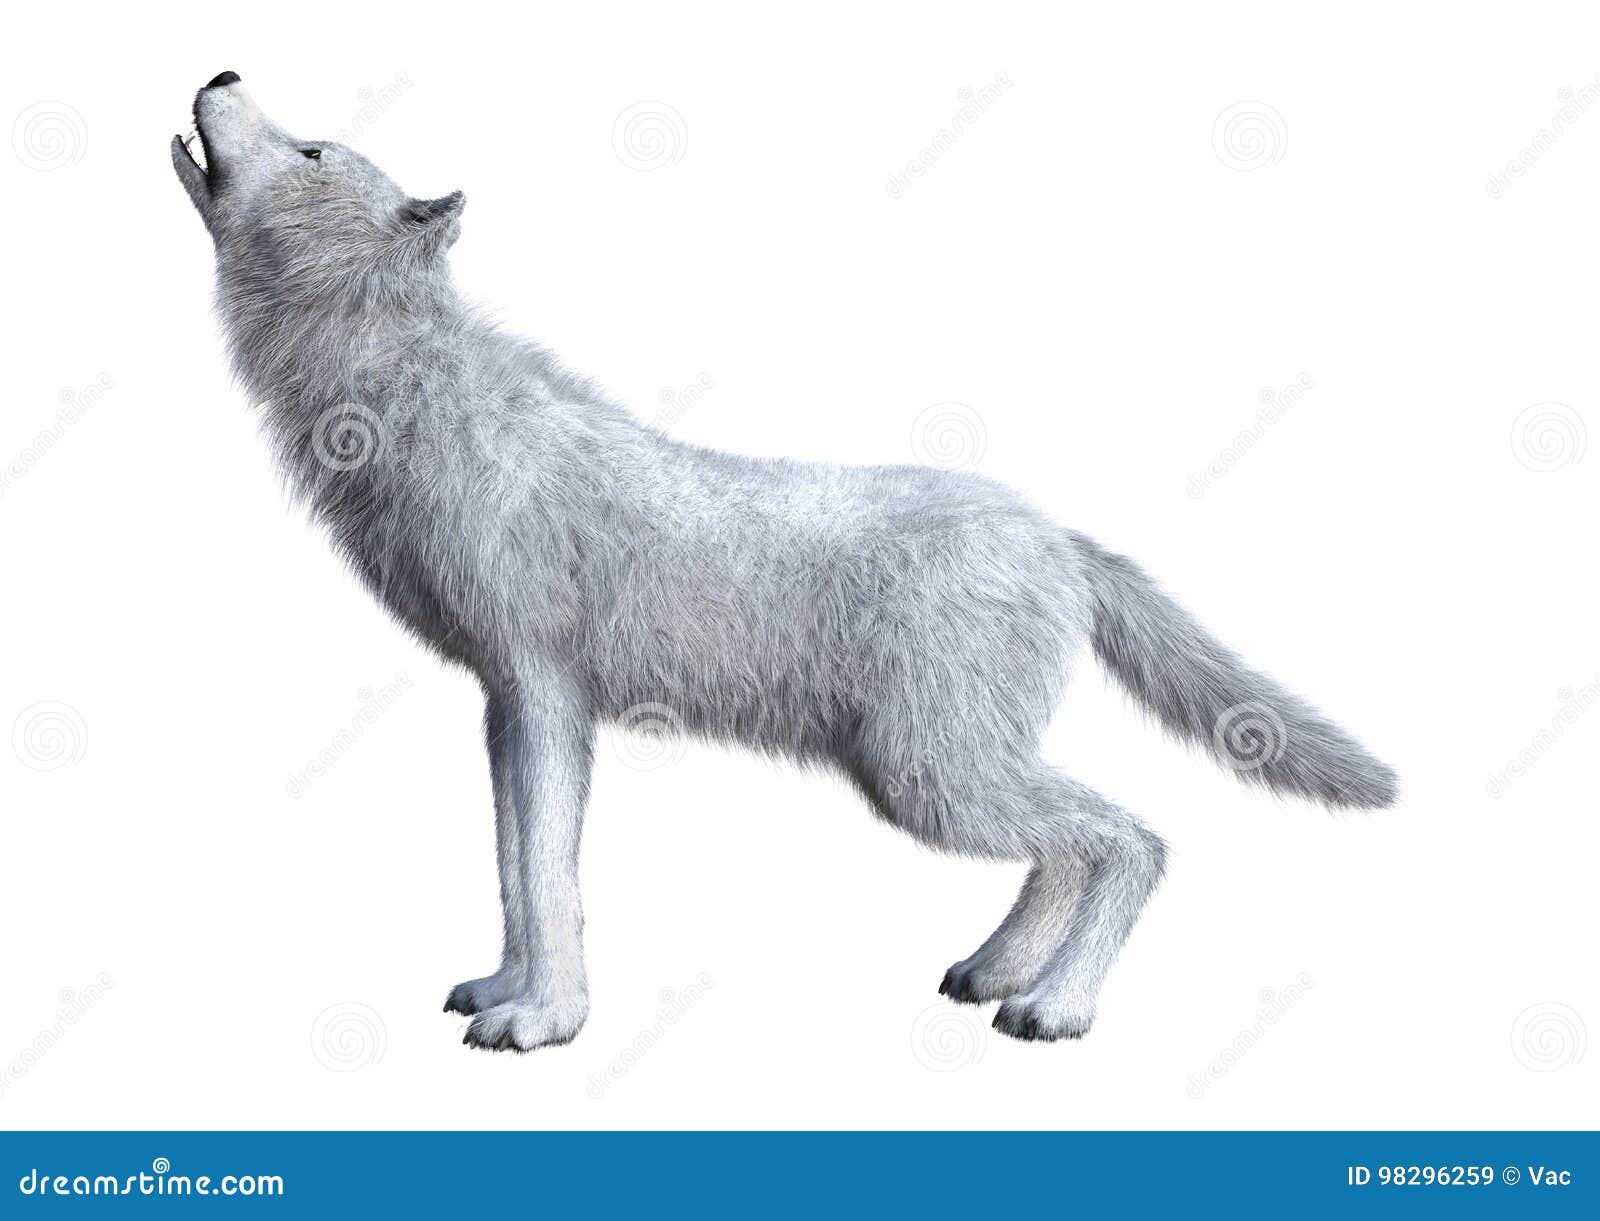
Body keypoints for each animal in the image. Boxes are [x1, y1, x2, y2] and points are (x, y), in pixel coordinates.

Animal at [172, 72, 1397, 1052]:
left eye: (312, 149)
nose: (222, 70)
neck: (410, 398)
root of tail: (1057, 536)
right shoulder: (505, 705)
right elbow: (518, 872)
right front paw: (508, 989)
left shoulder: (547, 696)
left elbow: (552, 878)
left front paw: (546, 1022)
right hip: (941, 775)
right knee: (1072, 849)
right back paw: (994, 973)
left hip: (926, 779)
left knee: (1129, 838)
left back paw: (1055, 1008)